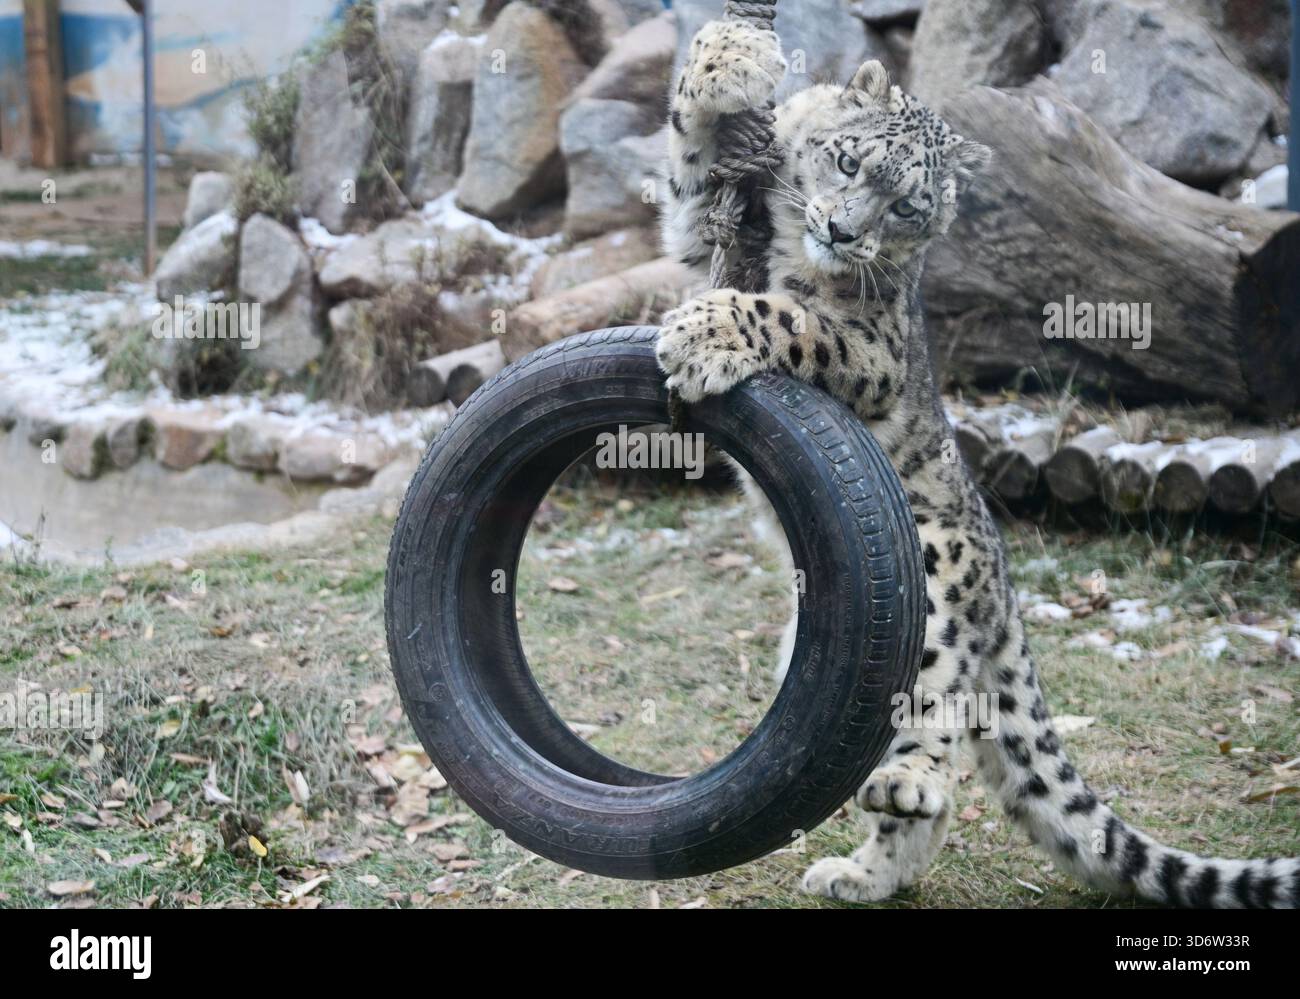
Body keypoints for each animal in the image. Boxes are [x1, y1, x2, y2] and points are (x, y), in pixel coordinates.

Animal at [657, 17, 1299, 908]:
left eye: (907, 206)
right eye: (848, 161)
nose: (843, 232)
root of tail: (1005, 584)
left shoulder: (871, 342)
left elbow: (788, 315)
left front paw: (703, 332)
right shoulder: (703, 237)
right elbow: (686, 161)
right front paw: (730, 60)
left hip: (934, 578)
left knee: (940, 725)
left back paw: (907, 788)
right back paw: (861, 872)